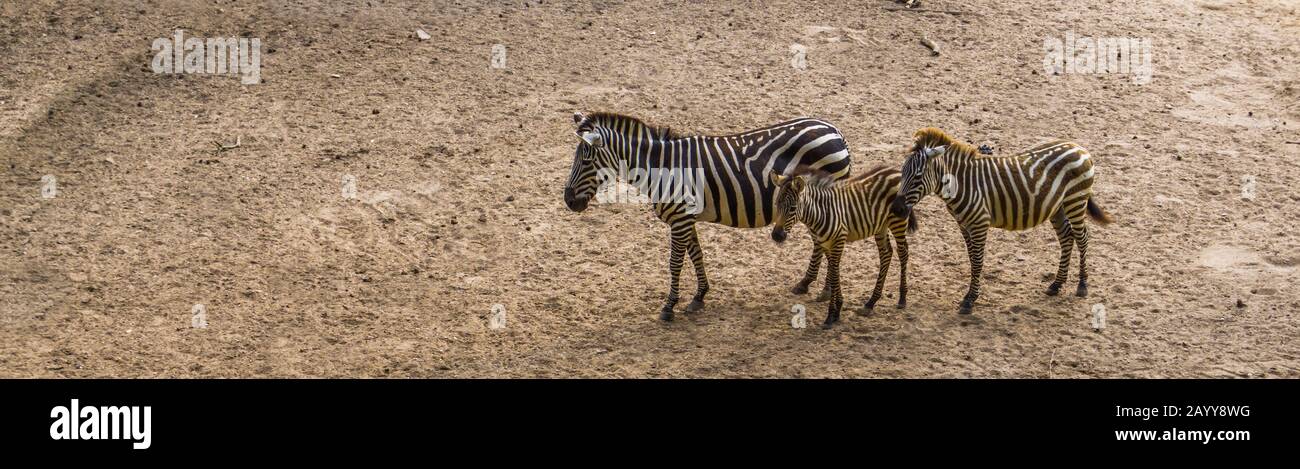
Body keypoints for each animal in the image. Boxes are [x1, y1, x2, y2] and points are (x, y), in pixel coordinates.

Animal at [563, 112, 853, 321]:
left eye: (586, 161)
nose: (568, 201)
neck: (661, 168)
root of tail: (834, 130)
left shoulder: (679, 219)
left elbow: (675, 263)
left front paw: (669, 306)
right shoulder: (685, 217)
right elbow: (697, 254)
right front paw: (699, 296)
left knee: (825, 241)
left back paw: (820, 287)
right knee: (821, 242)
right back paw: (811, 284)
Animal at [770, 165, 916, 328]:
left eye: (792, 208)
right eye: (777, 204)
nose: (776, 236)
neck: (820, 212)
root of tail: (894, 170)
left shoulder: (838, 241)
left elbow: (834, 274)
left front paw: (831, 315)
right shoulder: (826, 243)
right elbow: (834, 271)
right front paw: (837, 310)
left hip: (898, 221)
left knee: (903, 252)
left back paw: (902, 298)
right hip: (881, 226)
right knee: (886, 253)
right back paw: (871, 302)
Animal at [889, 127, 1114, 315]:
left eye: (918, 176)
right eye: (902, 172)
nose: (896, 209)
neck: (960, 183)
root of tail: (1078, 147)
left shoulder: (979, 223)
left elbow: (977, 260)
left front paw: (970, 300)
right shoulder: (964, 225)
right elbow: (971, 259)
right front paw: (969, 295)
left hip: (1076, 200)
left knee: (1082, 237)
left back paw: (1082, 285)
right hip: (1057, 208)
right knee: (1067, 237)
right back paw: (1056, 285)